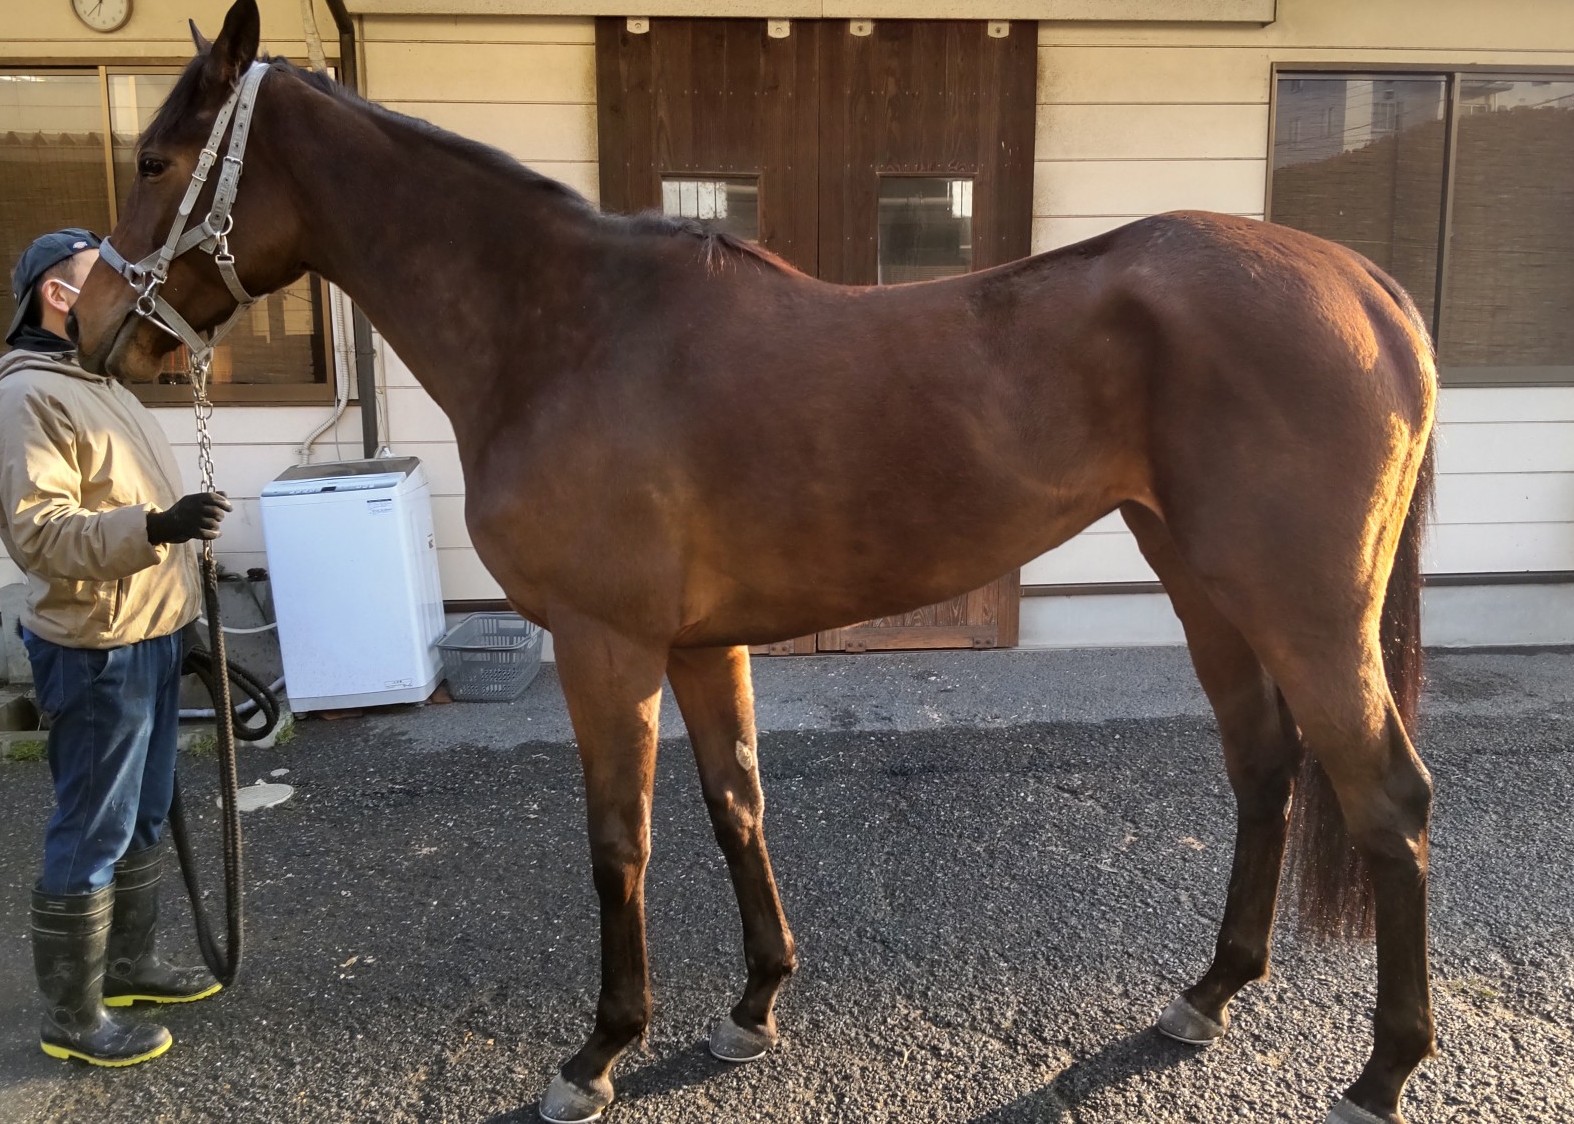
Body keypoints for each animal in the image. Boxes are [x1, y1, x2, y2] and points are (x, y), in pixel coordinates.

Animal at [68, 4, 1439, 1122]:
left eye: (156, 162)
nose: (94, 333)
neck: (565, 333)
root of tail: (1365, 286)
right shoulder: (695, 641)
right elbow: (736, 801)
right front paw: (751, 1005)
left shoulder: (605, 642)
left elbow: (618, 838)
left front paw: (599, 1051)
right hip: (1207, 586)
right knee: (1263, 767)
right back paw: (1208, 992)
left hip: (1305, 607)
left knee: (1384, 796)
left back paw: (1380, 1070)